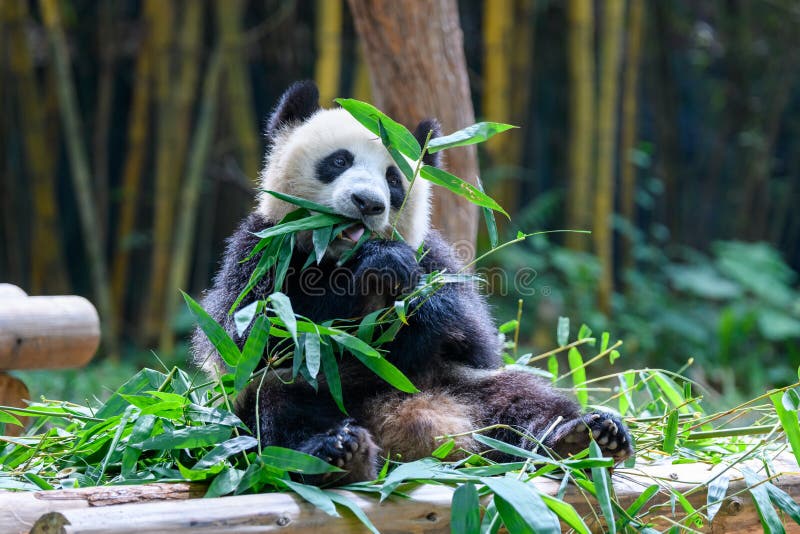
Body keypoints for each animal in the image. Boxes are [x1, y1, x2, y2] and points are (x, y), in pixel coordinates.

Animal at [193, 81, 633, 484]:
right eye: (339, 160)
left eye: (393, 178)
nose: (368, 203)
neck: (339, 252)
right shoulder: (260, 248)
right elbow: (250, 333)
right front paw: (369, 275)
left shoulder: (434, 255)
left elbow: (475, 337)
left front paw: (405, 286)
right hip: (300, 395)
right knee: (276, 411)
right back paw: (337, 455)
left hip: (462, 385)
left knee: (526, 399)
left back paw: (583, 437)